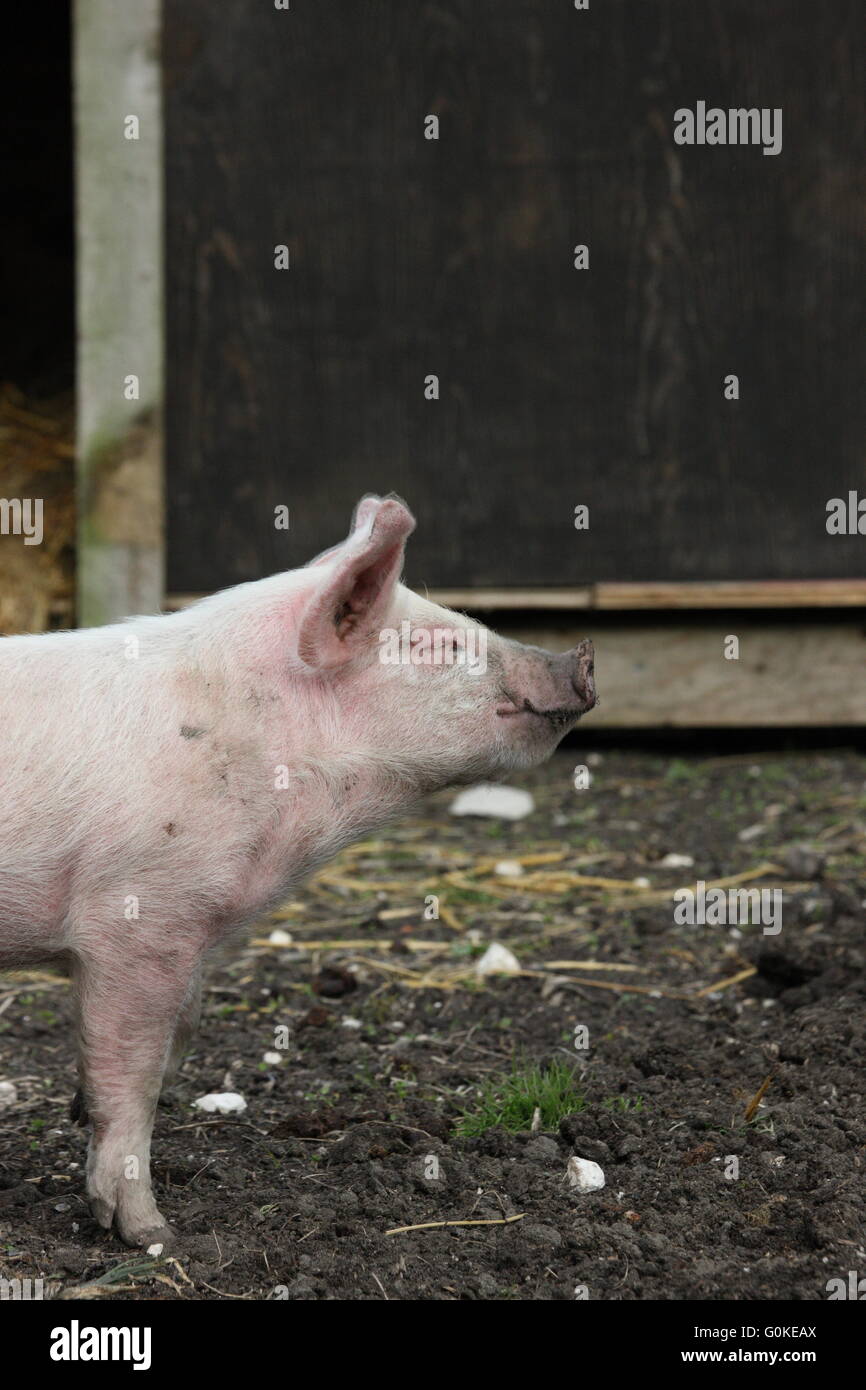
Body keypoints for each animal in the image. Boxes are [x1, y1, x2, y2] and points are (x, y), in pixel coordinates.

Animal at [0, 495, 596, 1247]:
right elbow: (132, 1074)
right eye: (437, 646)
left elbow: (178, 1035)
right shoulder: (135, 916)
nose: (582, 657)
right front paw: (153, 1234)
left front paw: (82, 1114)